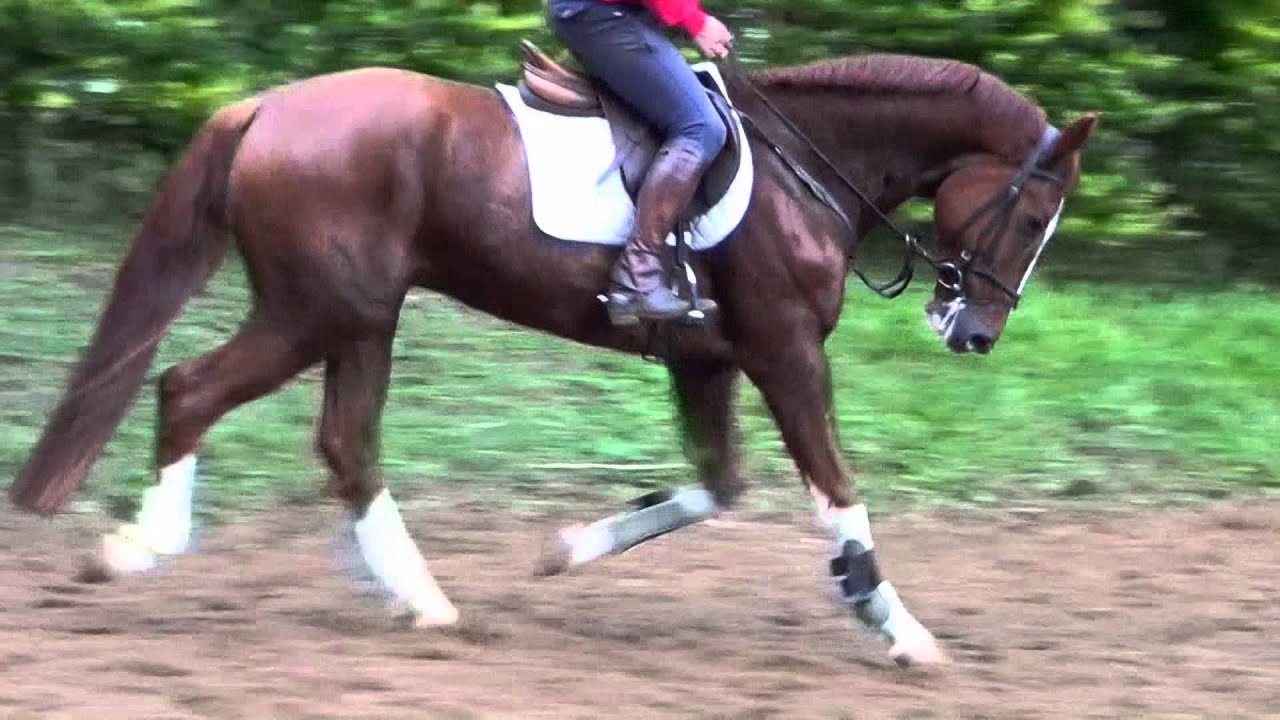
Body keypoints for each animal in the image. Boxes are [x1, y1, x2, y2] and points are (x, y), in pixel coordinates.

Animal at [7, 44, 1096, 667]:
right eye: (1030, 215)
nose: (975, 334)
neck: (806, 169)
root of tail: (266, 108)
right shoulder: (784, 350)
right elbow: (834, 486)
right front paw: (897, 628)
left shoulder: (704, 360)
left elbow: (716, 486)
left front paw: (566, 548)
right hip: (315, 310)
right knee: (189, 389)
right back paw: (141, 547)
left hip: (360, 317)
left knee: (346, 447)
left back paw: (421, 602)